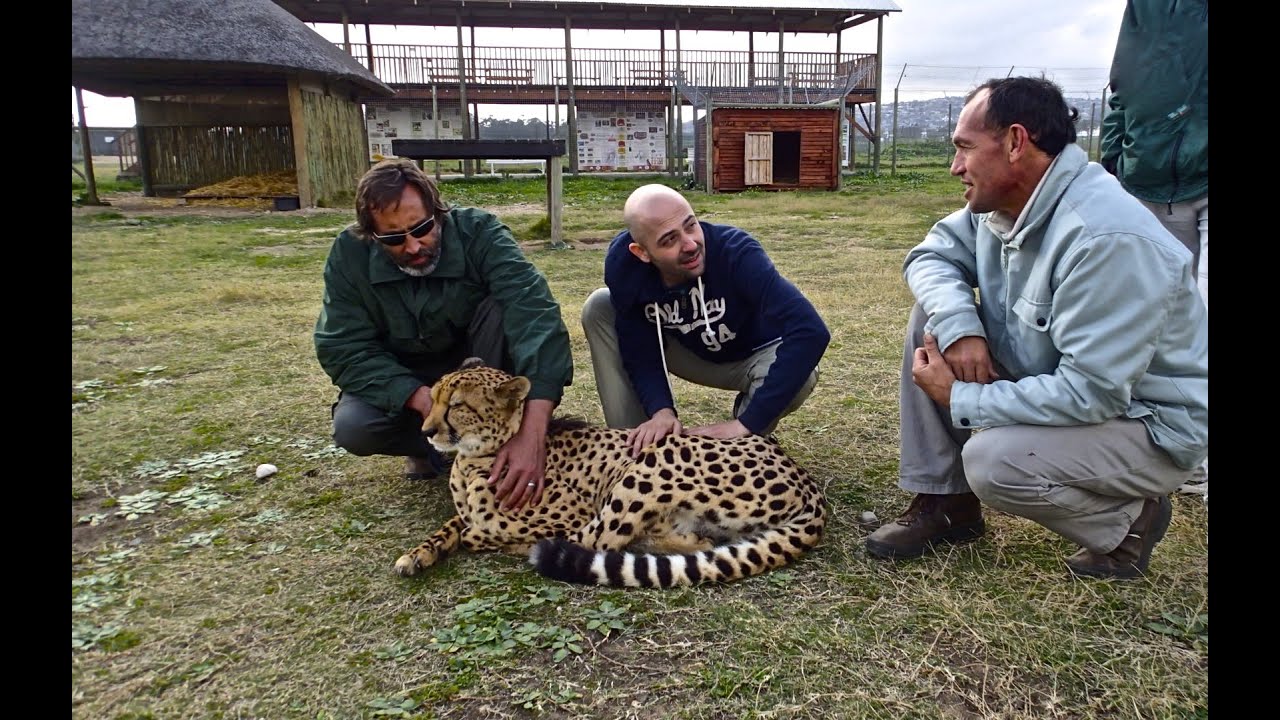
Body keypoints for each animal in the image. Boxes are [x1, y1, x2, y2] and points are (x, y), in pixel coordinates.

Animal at [393, 361, 826, 588]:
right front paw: (417, 554)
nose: (426, 431)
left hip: (653, 459)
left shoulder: (571, 512)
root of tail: (809, 485)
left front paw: (482, 535)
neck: (479, 455)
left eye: (457, 405)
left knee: (597, 540)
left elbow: (487, 525)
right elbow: (450, 526)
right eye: (433, 398)